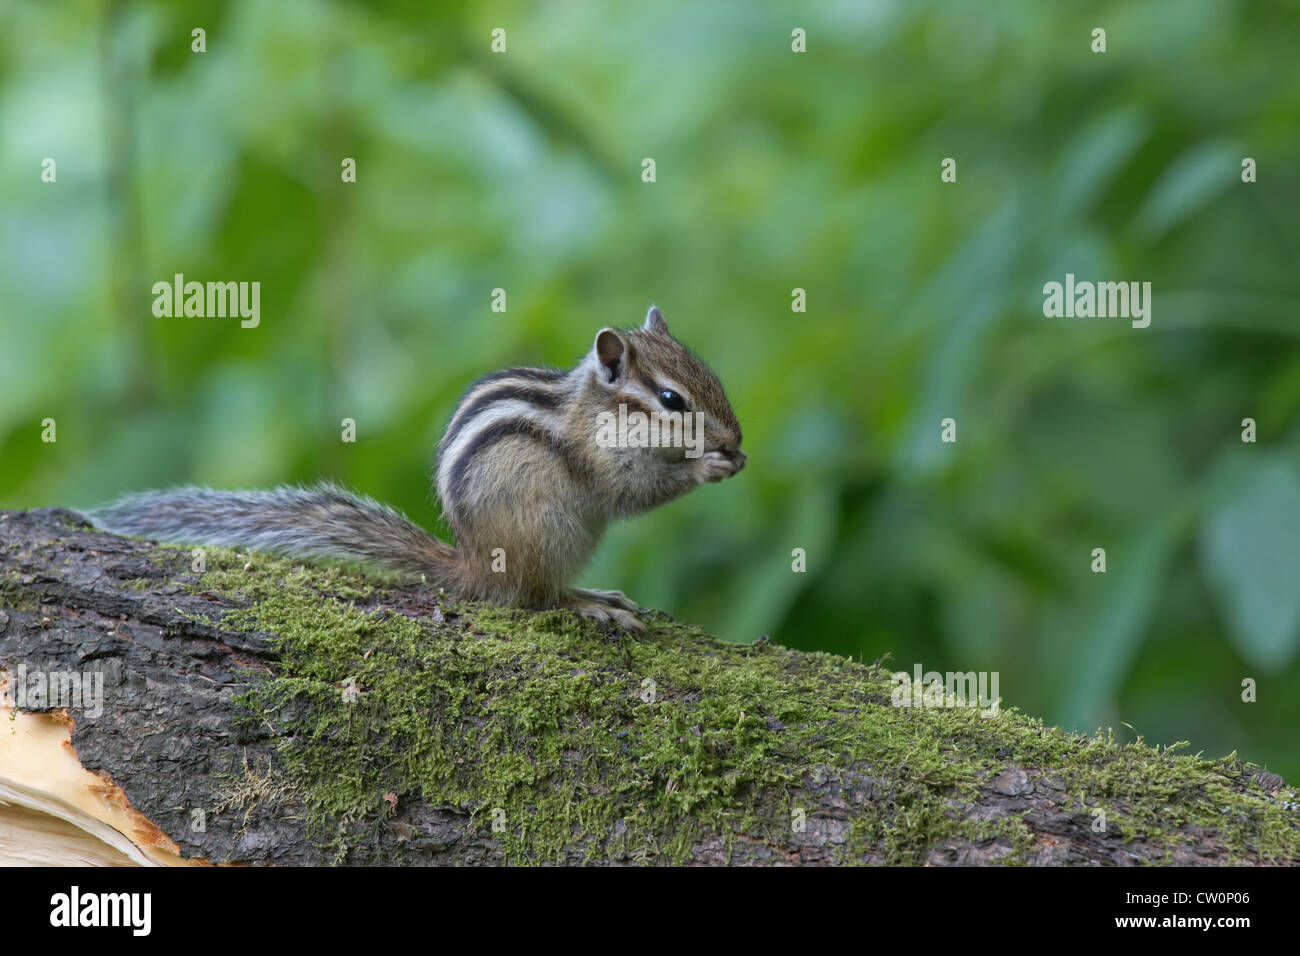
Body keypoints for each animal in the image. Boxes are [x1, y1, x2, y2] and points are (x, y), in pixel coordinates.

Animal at [86, 306, 746, 632]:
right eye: (671, 400)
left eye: (711, 375)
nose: (737, 442)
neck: (597, 410)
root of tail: (471, 563)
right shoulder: (599, 460)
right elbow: (630, 490)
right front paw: (705, 468)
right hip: (545, 530)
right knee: (532, 599)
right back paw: (587, 604)